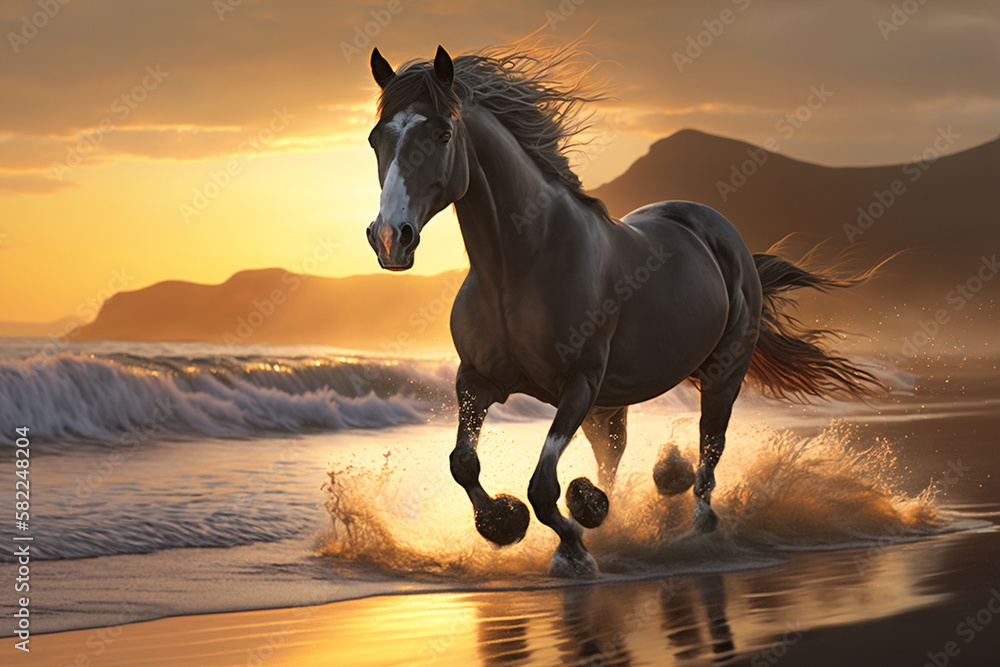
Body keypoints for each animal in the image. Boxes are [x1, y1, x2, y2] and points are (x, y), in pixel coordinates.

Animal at [364, 41, 883, 577]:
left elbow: (542, 487)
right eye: (376, 138)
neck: (519, 265)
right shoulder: (477, 381)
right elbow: (463, 463)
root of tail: (722, 232)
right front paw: (507, 524)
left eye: (443, 134)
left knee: (708, 456)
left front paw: (573, 550)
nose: (391, 238)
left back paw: (694, 527)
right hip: (612, 403)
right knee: (613, 458)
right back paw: (617, 501)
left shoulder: (579, 384)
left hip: (721, 376)